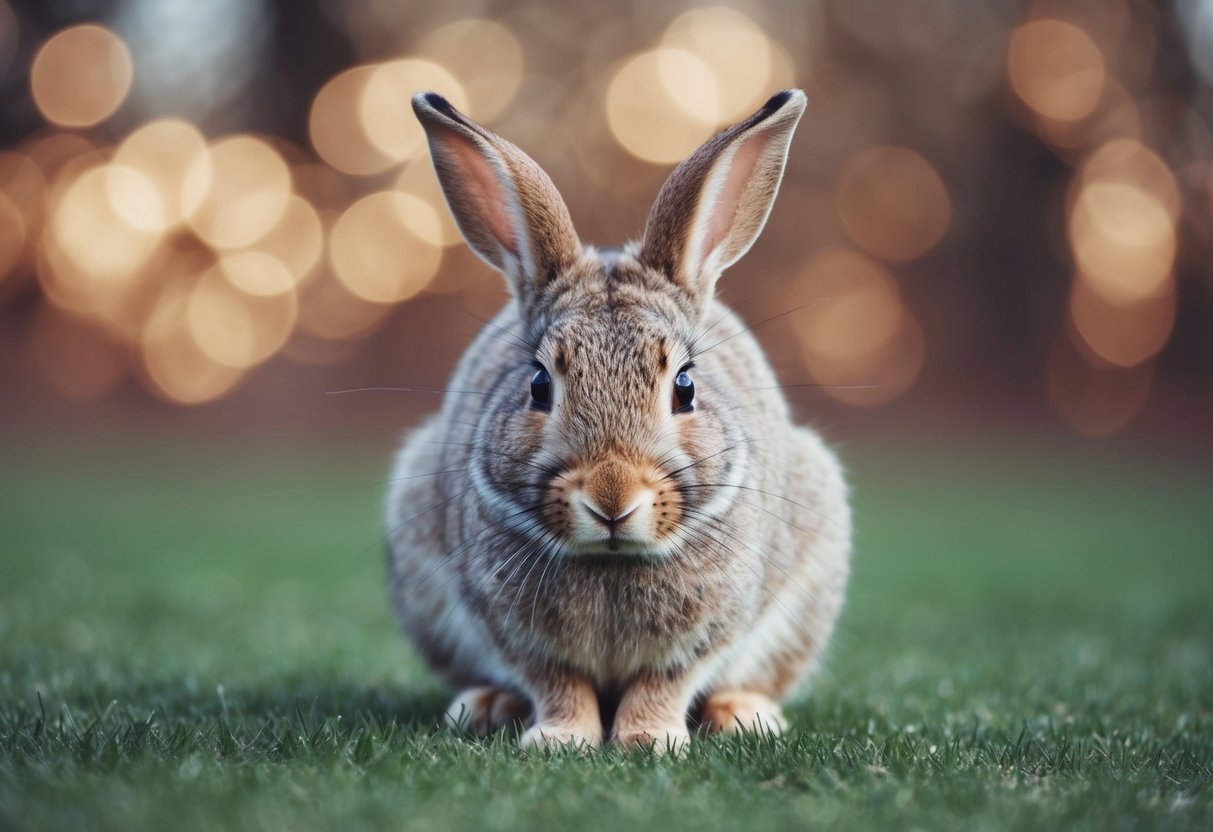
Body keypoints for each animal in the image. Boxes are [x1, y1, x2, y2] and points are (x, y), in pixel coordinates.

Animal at [386, 89, 851, 753]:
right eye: (538, 385)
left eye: (685, 387)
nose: (612, 497)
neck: (611, 558)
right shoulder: (513, 631)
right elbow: (558, 684)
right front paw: (560, 741)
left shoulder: (708, 634)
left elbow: (666, 684)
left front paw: (649, 740)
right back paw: (488, 707)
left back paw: (744, 715)